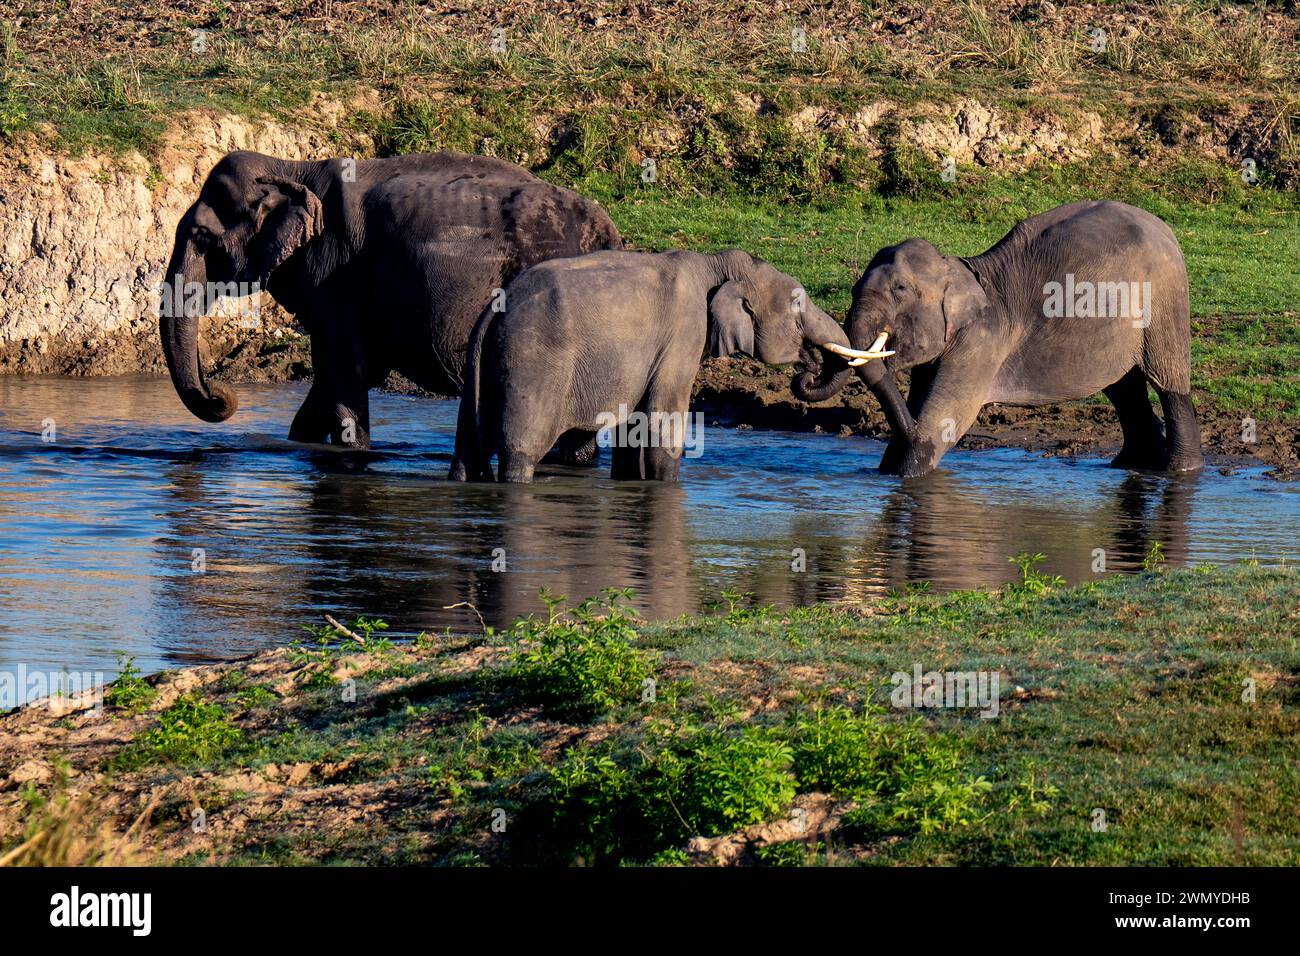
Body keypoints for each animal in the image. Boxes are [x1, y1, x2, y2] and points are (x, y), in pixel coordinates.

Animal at [159, 149, 622, 449]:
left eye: (201, 236)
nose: (222, 393)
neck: (292, 168)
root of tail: (612, 236)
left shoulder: (334, 272)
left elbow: (345, 376)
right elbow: (334, 386)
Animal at [448, 248, 855, 483]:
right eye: (798, 305)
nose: (808, 368)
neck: (715, 263)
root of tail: (492, 310)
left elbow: (634, 427)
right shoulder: (684, 333)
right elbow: (664, 419)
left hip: (481, 365)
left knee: (467, 449)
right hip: (531, 364)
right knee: (521, 450)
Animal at [805, 200, 1203, 478]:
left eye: (900, 289)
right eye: (854, 288)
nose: (807, 374)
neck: (960, 271)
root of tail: (1164, 228)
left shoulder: (981, 342)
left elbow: (944, 420)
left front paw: (906, 473)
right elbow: (924, 406)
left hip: (1165, 299)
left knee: (1168, 384)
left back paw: (1178, 470)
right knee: (1125, 388)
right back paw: (1132, 464)